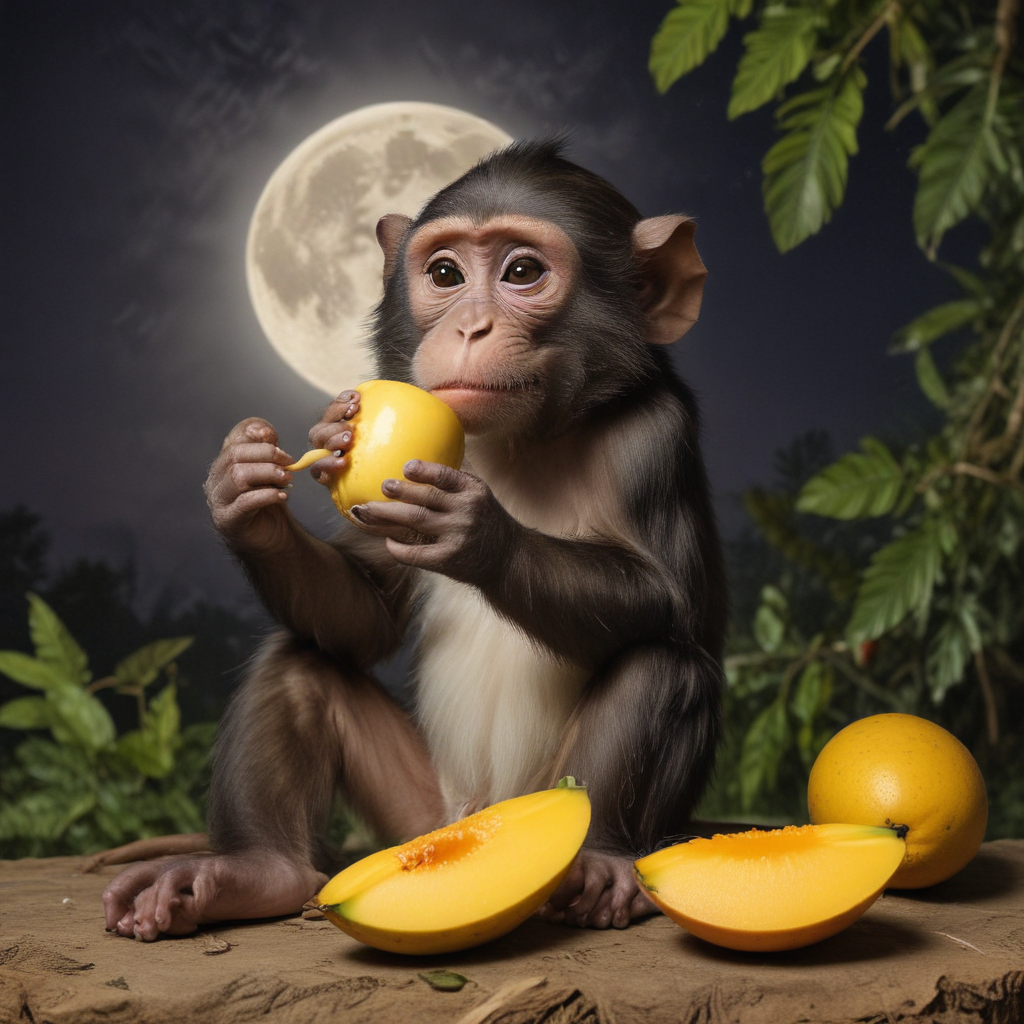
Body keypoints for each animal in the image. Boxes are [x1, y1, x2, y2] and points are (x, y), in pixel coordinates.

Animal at [102, 140, 727, 941]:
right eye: (446, 275)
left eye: (522, 272)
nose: (468, 327)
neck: (528, 437)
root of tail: (477, 817)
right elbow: (365, 617)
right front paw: (246, 497)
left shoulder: (655, 436)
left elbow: (668, 598)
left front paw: (478, 534)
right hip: (418, 816)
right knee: (300, 662)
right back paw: (246, 874)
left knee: (662, 664)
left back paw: (602, 862)